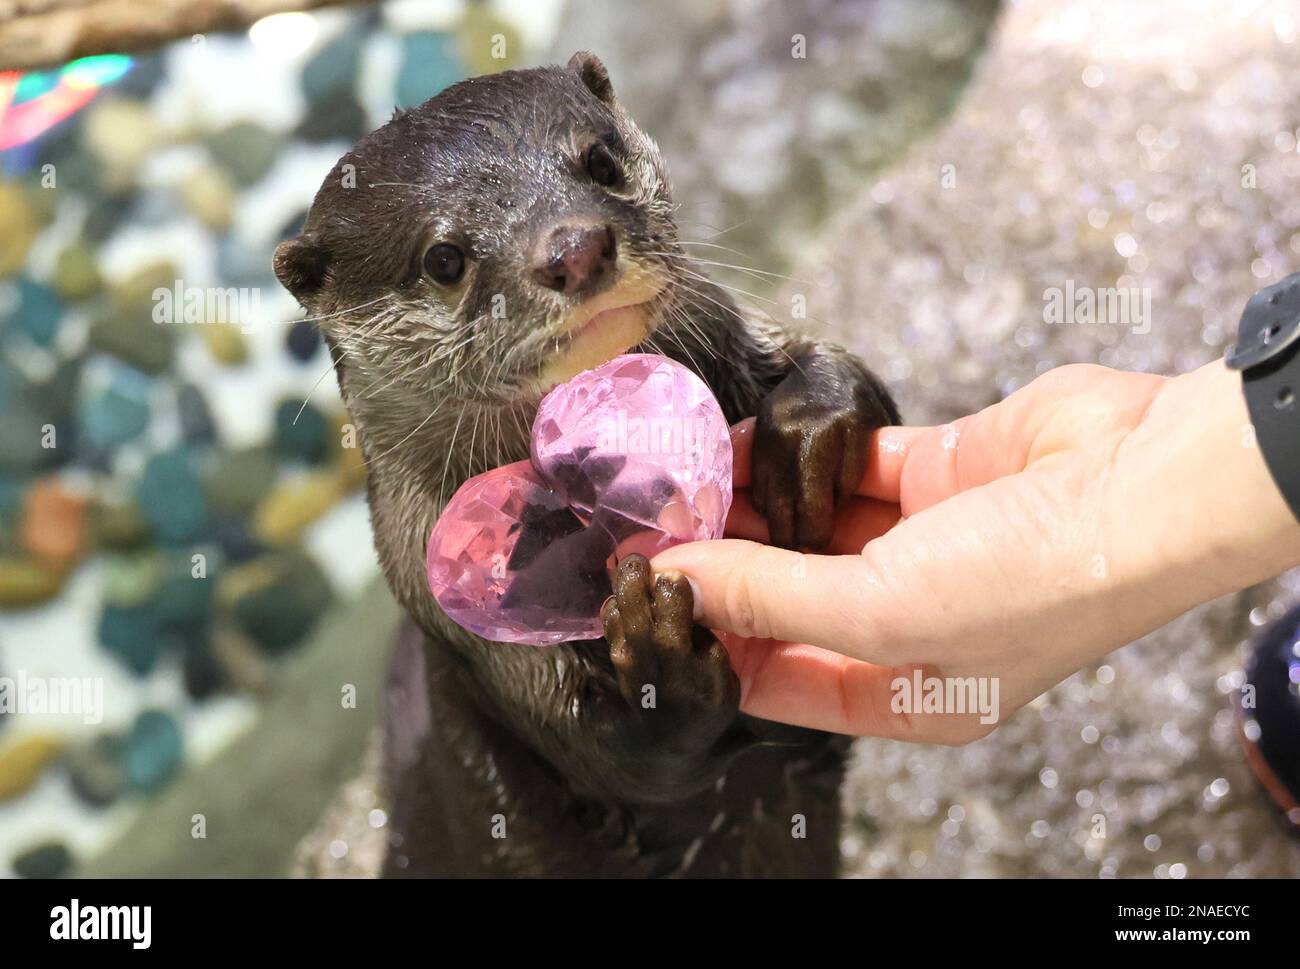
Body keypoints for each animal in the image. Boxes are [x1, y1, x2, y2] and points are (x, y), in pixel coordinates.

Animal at [273, 53, 899, 877]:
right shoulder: (444, 595)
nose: (575, 249)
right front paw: (663, 664)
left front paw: (807, 437)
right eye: (443, 258)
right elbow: (621, 756)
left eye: (600, 161)